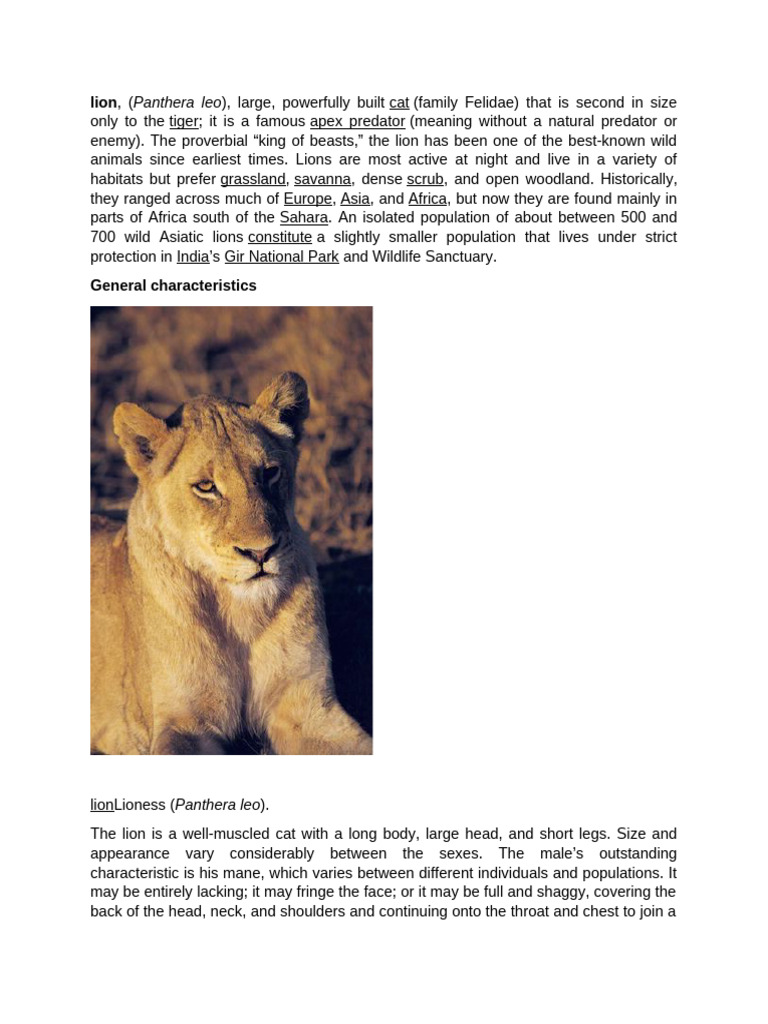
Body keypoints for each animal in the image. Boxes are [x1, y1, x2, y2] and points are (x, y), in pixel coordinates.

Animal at [91, 372, 372, 755]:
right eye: (206, 487)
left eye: (270, 473)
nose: (261, 552)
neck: (241, 614)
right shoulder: (183, 722)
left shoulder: (311, 707)